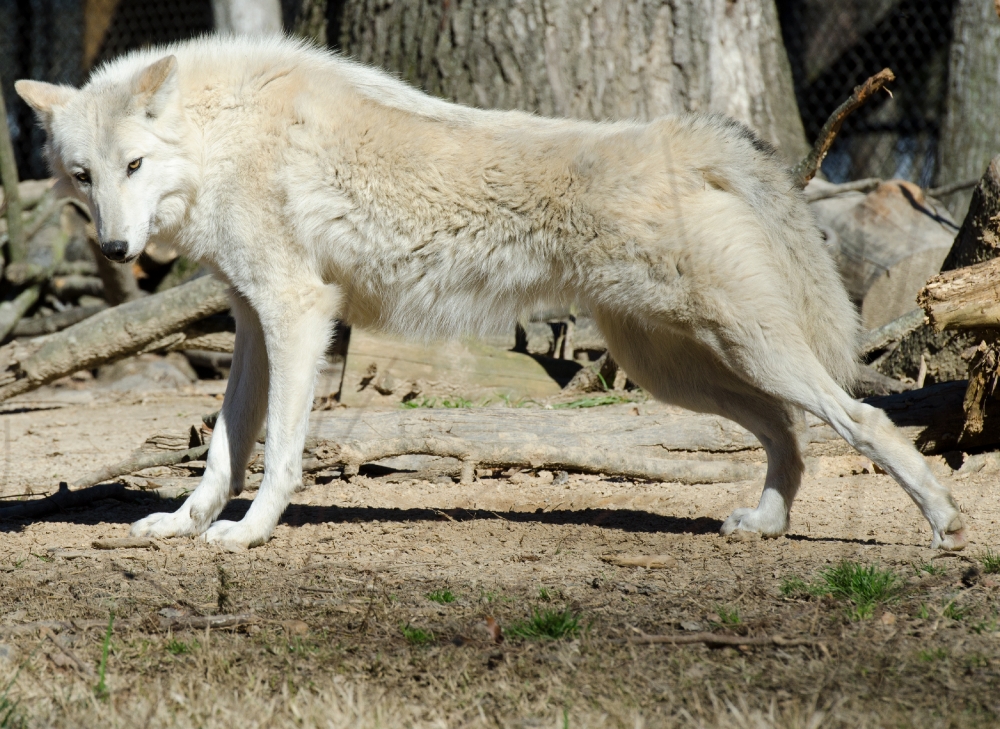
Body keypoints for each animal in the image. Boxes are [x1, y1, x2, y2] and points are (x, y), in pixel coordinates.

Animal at [16, 35, 966, 552]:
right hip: (672, 368)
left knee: (859, 419)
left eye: (135, 165)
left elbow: (278, 451)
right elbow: (221, 449)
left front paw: (250, 534)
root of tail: (685, 137)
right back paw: (767, 523)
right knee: (789, 433)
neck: (224, 134)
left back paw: (940, 521)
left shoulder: (297, 313)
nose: (114, 246)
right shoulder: (254, 321)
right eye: (83, 174)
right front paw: (185, 523)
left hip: (743, 349)